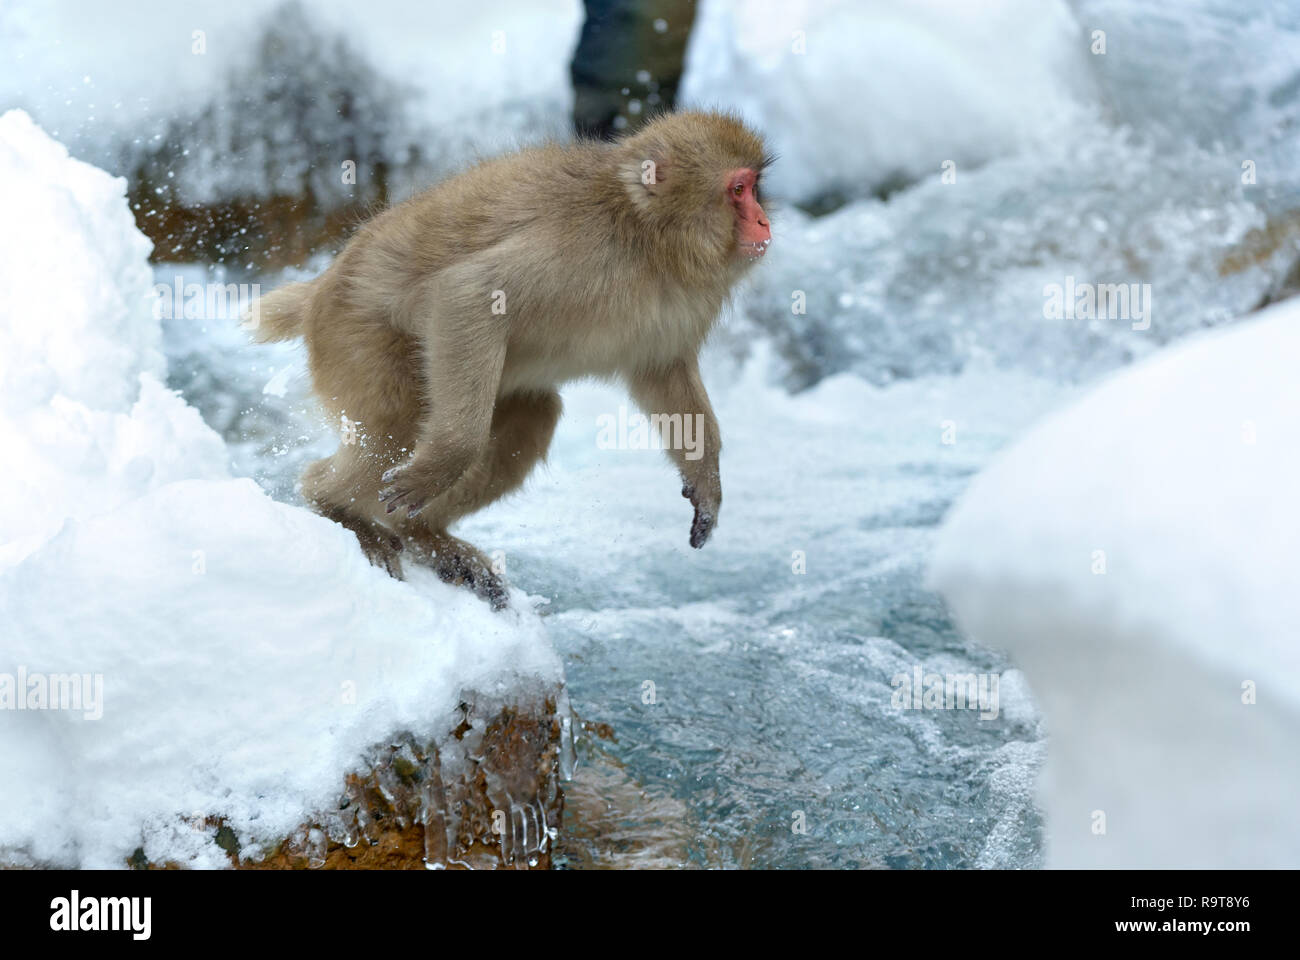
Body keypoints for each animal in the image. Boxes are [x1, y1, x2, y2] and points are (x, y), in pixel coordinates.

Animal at [246, 111, 772, 608]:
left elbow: (661, 373)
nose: (765, 220)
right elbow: (470, 295)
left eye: (754, 187)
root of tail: (320, 289)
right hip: (354, 341)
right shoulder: (583, 250)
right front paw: (443, 462)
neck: (647, 234)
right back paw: (338, 505)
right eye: (738, 190)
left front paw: (706, 480)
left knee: (532, 416)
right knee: (393, 427)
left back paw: (423, 534)